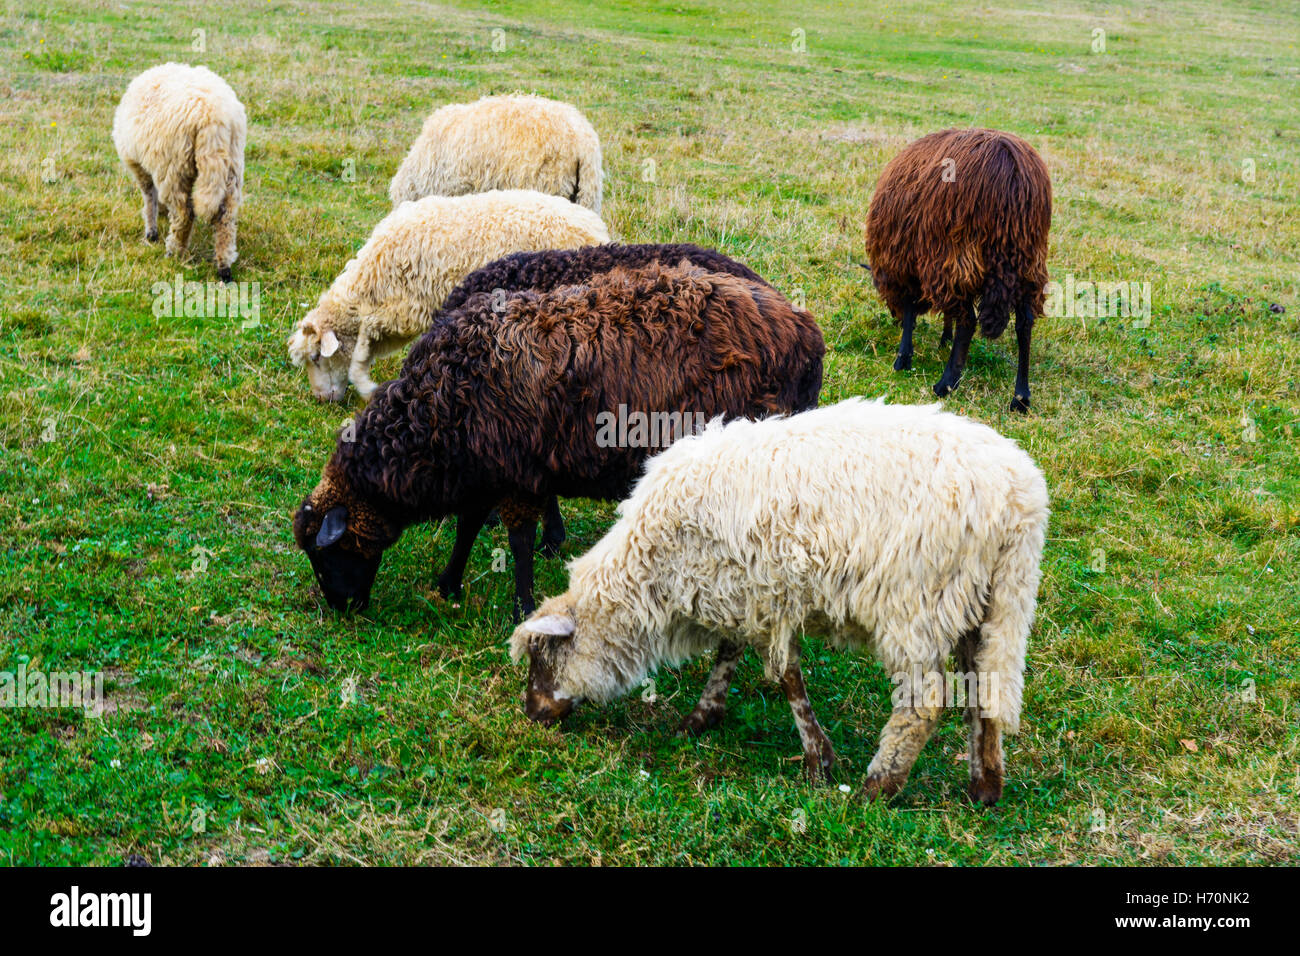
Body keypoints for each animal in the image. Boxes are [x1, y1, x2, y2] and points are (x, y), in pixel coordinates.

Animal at [112, 63, 247, 282]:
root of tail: (212, 118)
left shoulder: (138, 164)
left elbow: (149, 196)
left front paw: (151, 232)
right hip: (231, 166)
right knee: (225, 217)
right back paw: (224, 268)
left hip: (174, 168)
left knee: (184, 214)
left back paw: (173, 252)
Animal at [286, 189, 609, 402]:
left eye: (316, 357)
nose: (321, 399)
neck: (371, 281)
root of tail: (597, 229)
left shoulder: (403, 309)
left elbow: (363, 343)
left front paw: (366, 384)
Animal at [291, 261, 825, 623]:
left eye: (323, 556)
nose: (343, 607)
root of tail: (804, 328)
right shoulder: (487, 474)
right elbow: (467, 528)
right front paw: (449, 584)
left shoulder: (520, 477)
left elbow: (519, 542)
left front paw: (523, 607)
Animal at [510, 397, 1049, 806]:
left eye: (544, 655)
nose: (530, 714)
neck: (649, 577)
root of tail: (1020, 500)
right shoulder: (739, 593)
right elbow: (729, 653)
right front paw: (703, 716)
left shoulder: (767, 599)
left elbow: (787, 677)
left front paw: (818, 761)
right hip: (985, 601)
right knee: (985, 687)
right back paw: (984, 786)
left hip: (917, 602)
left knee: (924, 704)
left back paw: (877, 787)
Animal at [864, 127, 1051, 413]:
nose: (893, 319)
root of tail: (1011, 170)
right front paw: (944, 338)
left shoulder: (909, 262)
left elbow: (910, 306)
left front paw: (903, 358)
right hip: (1028, 262)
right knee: (1025, 323)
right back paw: (1020, 397)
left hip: (956, 251)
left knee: (969, 321)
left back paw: (946, 384)